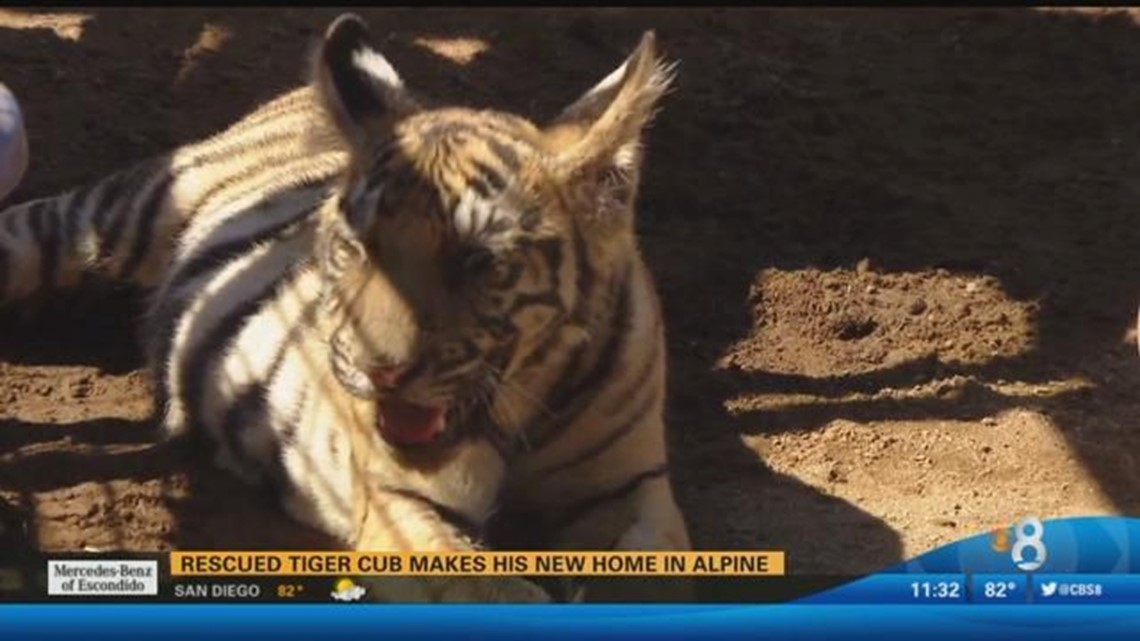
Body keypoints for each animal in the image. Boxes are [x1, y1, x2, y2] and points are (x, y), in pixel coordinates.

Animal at [0, 13, 690, 602]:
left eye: (478, 260)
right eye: (358, 247)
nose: (378, 371)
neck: (525, 403)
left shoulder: (632, 489)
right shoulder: (402, 504)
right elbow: (498, 595)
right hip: (107, 218)